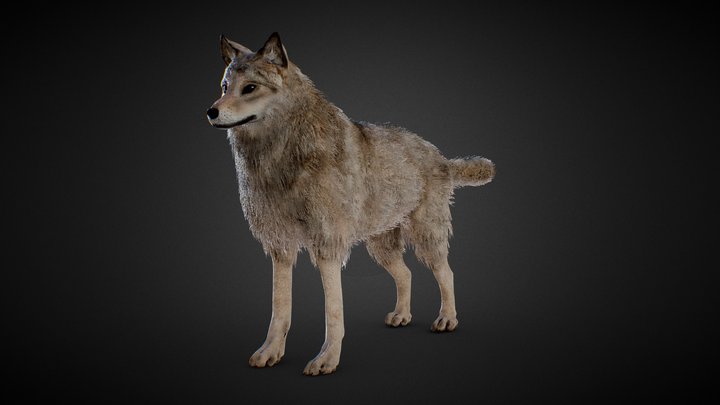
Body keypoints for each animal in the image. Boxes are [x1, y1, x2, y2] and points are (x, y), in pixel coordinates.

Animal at [206, 32, 495, 375]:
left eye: (250, 87)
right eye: (225, 87)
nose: (210, 111)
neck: (279, 156)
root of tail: (441, 157)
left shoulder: (327, 246)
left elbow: (333, 311)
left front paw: (327, 359)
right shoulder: (281, 247)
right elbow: (279, 309)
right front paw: (270, 352)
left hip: (426, 237)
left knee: (446, 273)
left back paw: (447, 319)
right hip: (380, 246)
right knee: (406, 274)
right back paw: (401, 316)